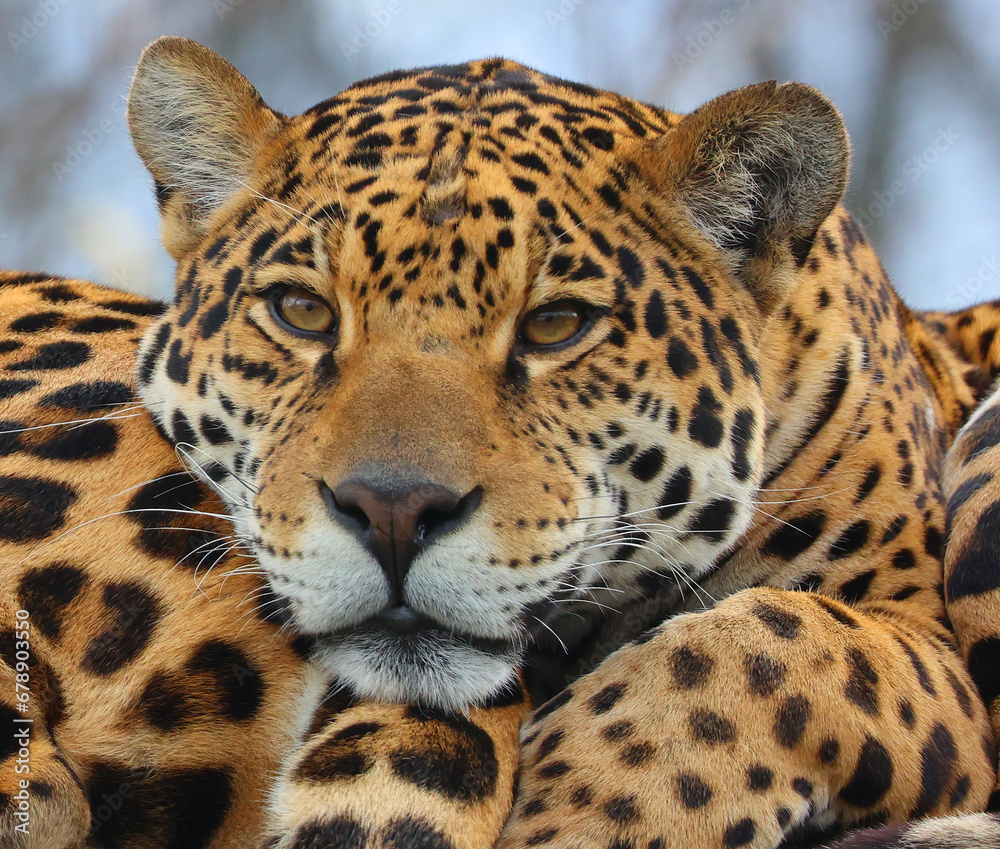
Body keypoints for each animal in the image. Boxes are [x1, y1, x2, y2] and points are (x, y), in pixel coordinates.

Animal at [2, 34, 1000, 849]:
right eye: (301, 310)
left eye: (556, 325)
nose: (393, 512)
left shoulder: (935, 655)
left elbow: (775, 643)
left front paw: (580, 809)